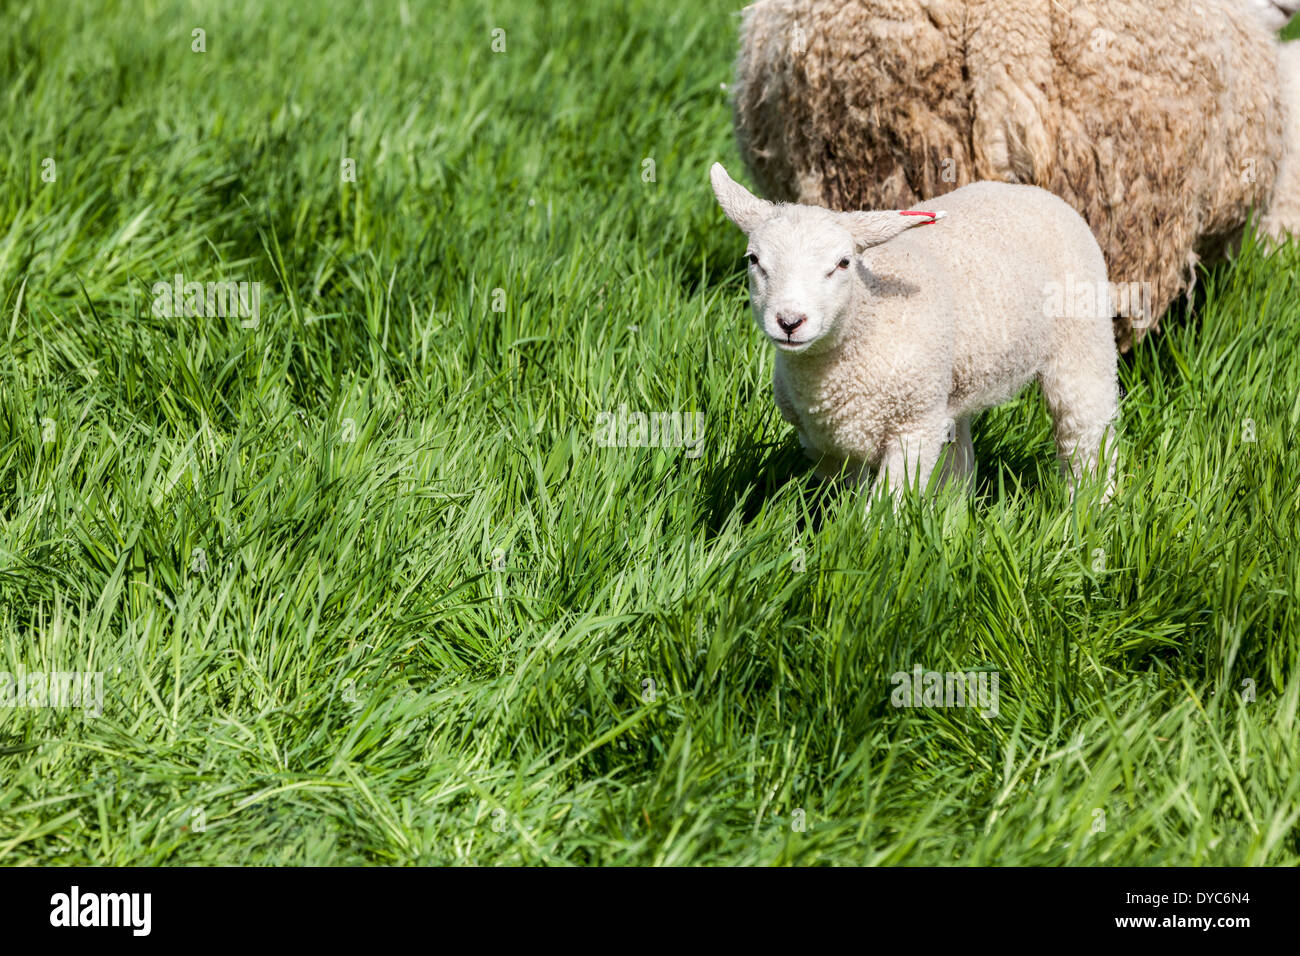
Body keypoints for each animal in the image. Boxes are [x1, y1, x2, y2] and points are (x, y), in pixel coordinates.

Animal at [709, 162, 1120, 502]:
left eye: (843, 263)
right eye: (754, 260)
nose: (790, 321)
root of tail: (1030, 191)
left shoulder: (913, 429)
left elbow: (883, 509)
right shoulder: (827, 447)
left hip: (1083, 344)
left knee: (1087, 434)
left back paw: (1093, 507)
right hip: (950, 387)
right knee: (959, 458)